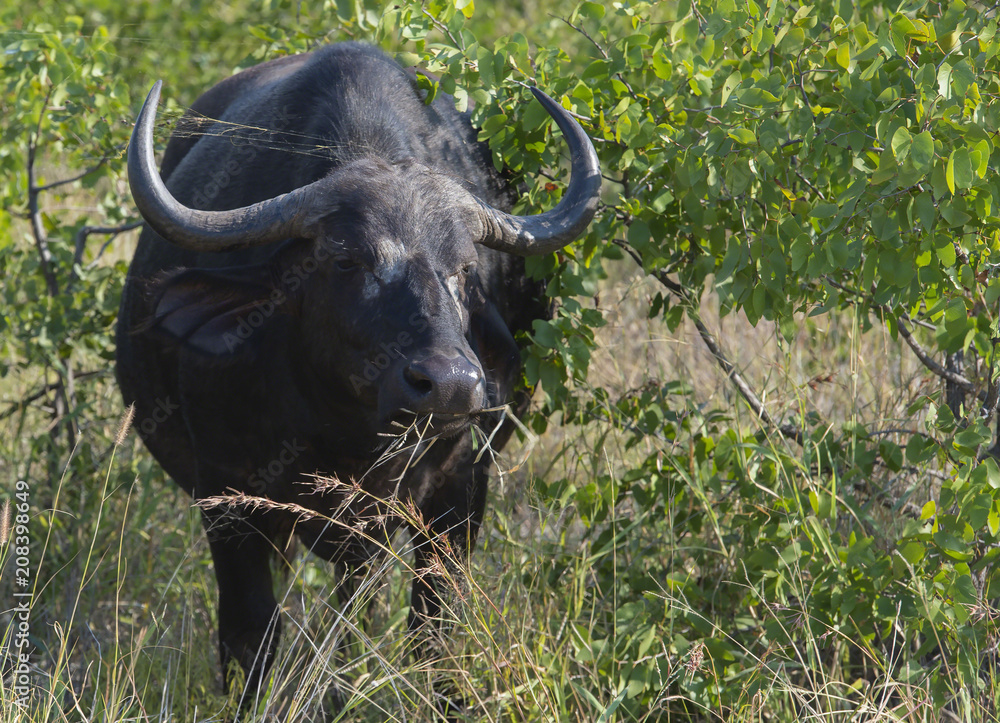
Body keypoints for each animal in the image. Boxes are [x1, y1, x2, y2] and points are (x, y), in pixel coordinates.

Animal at [116, 42, 599, 702]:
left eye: (465, 267)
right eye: (346, 259)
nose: (451, 385)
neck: (343, 426)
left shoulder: (458, 488)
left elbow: (433, 631)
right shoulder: (227, 497)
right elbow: (250, 637)